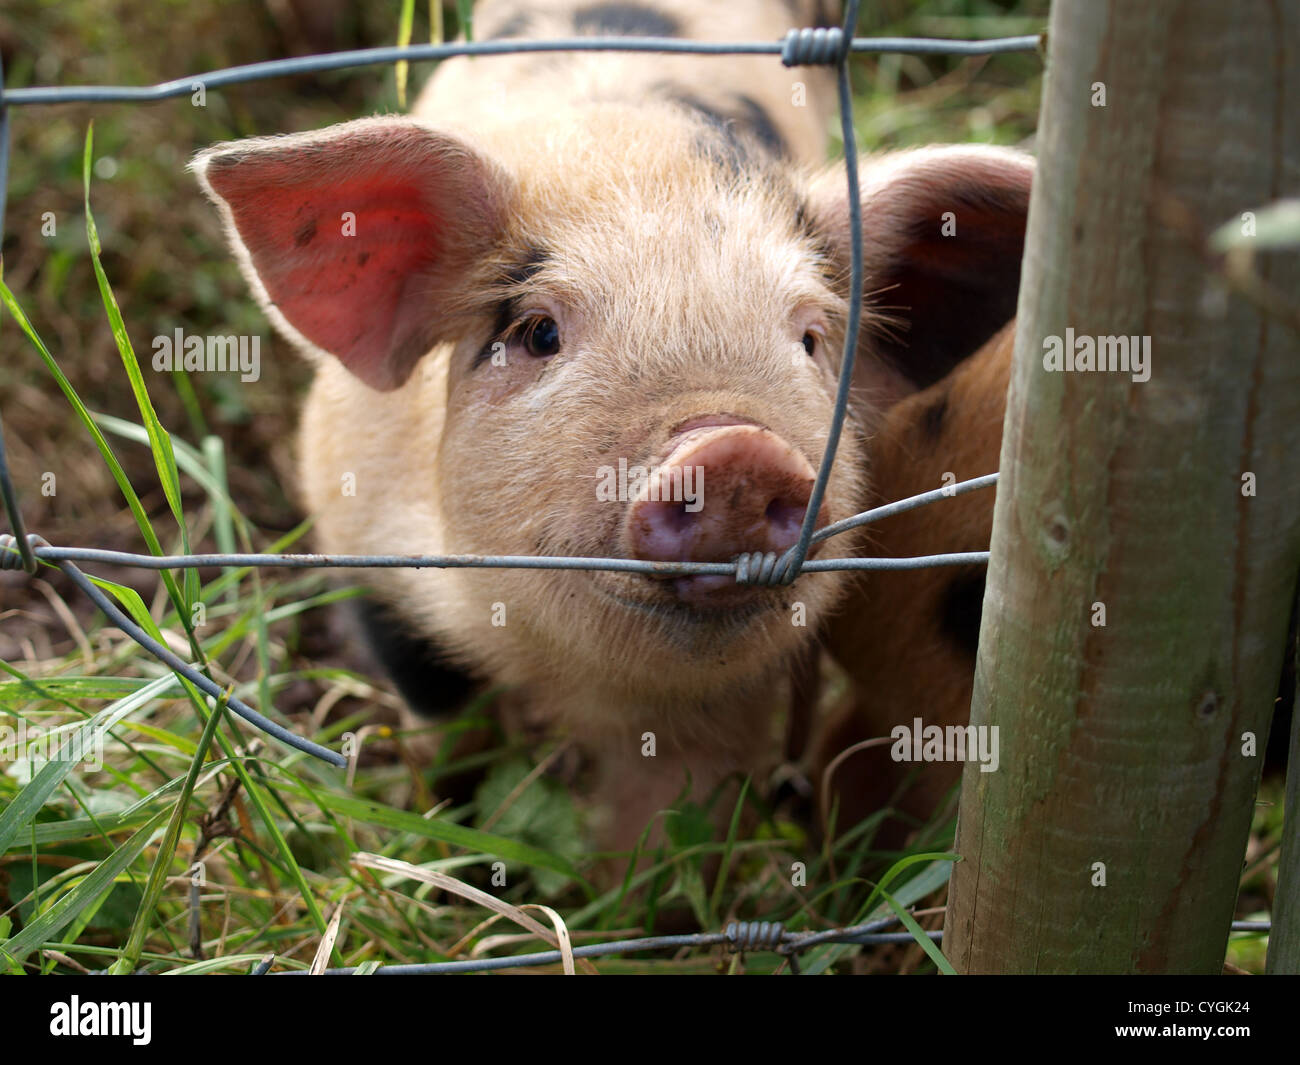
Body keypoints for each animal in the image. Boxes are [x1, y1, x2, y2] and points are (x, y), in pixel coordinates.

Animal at [191, 0, 1034, 852]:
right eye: (539, 333)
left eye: (809, 340)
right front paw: (447, 831)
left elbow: (667, 813)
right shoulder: (366, 549)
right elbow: (450, 726)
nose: (735, 450)